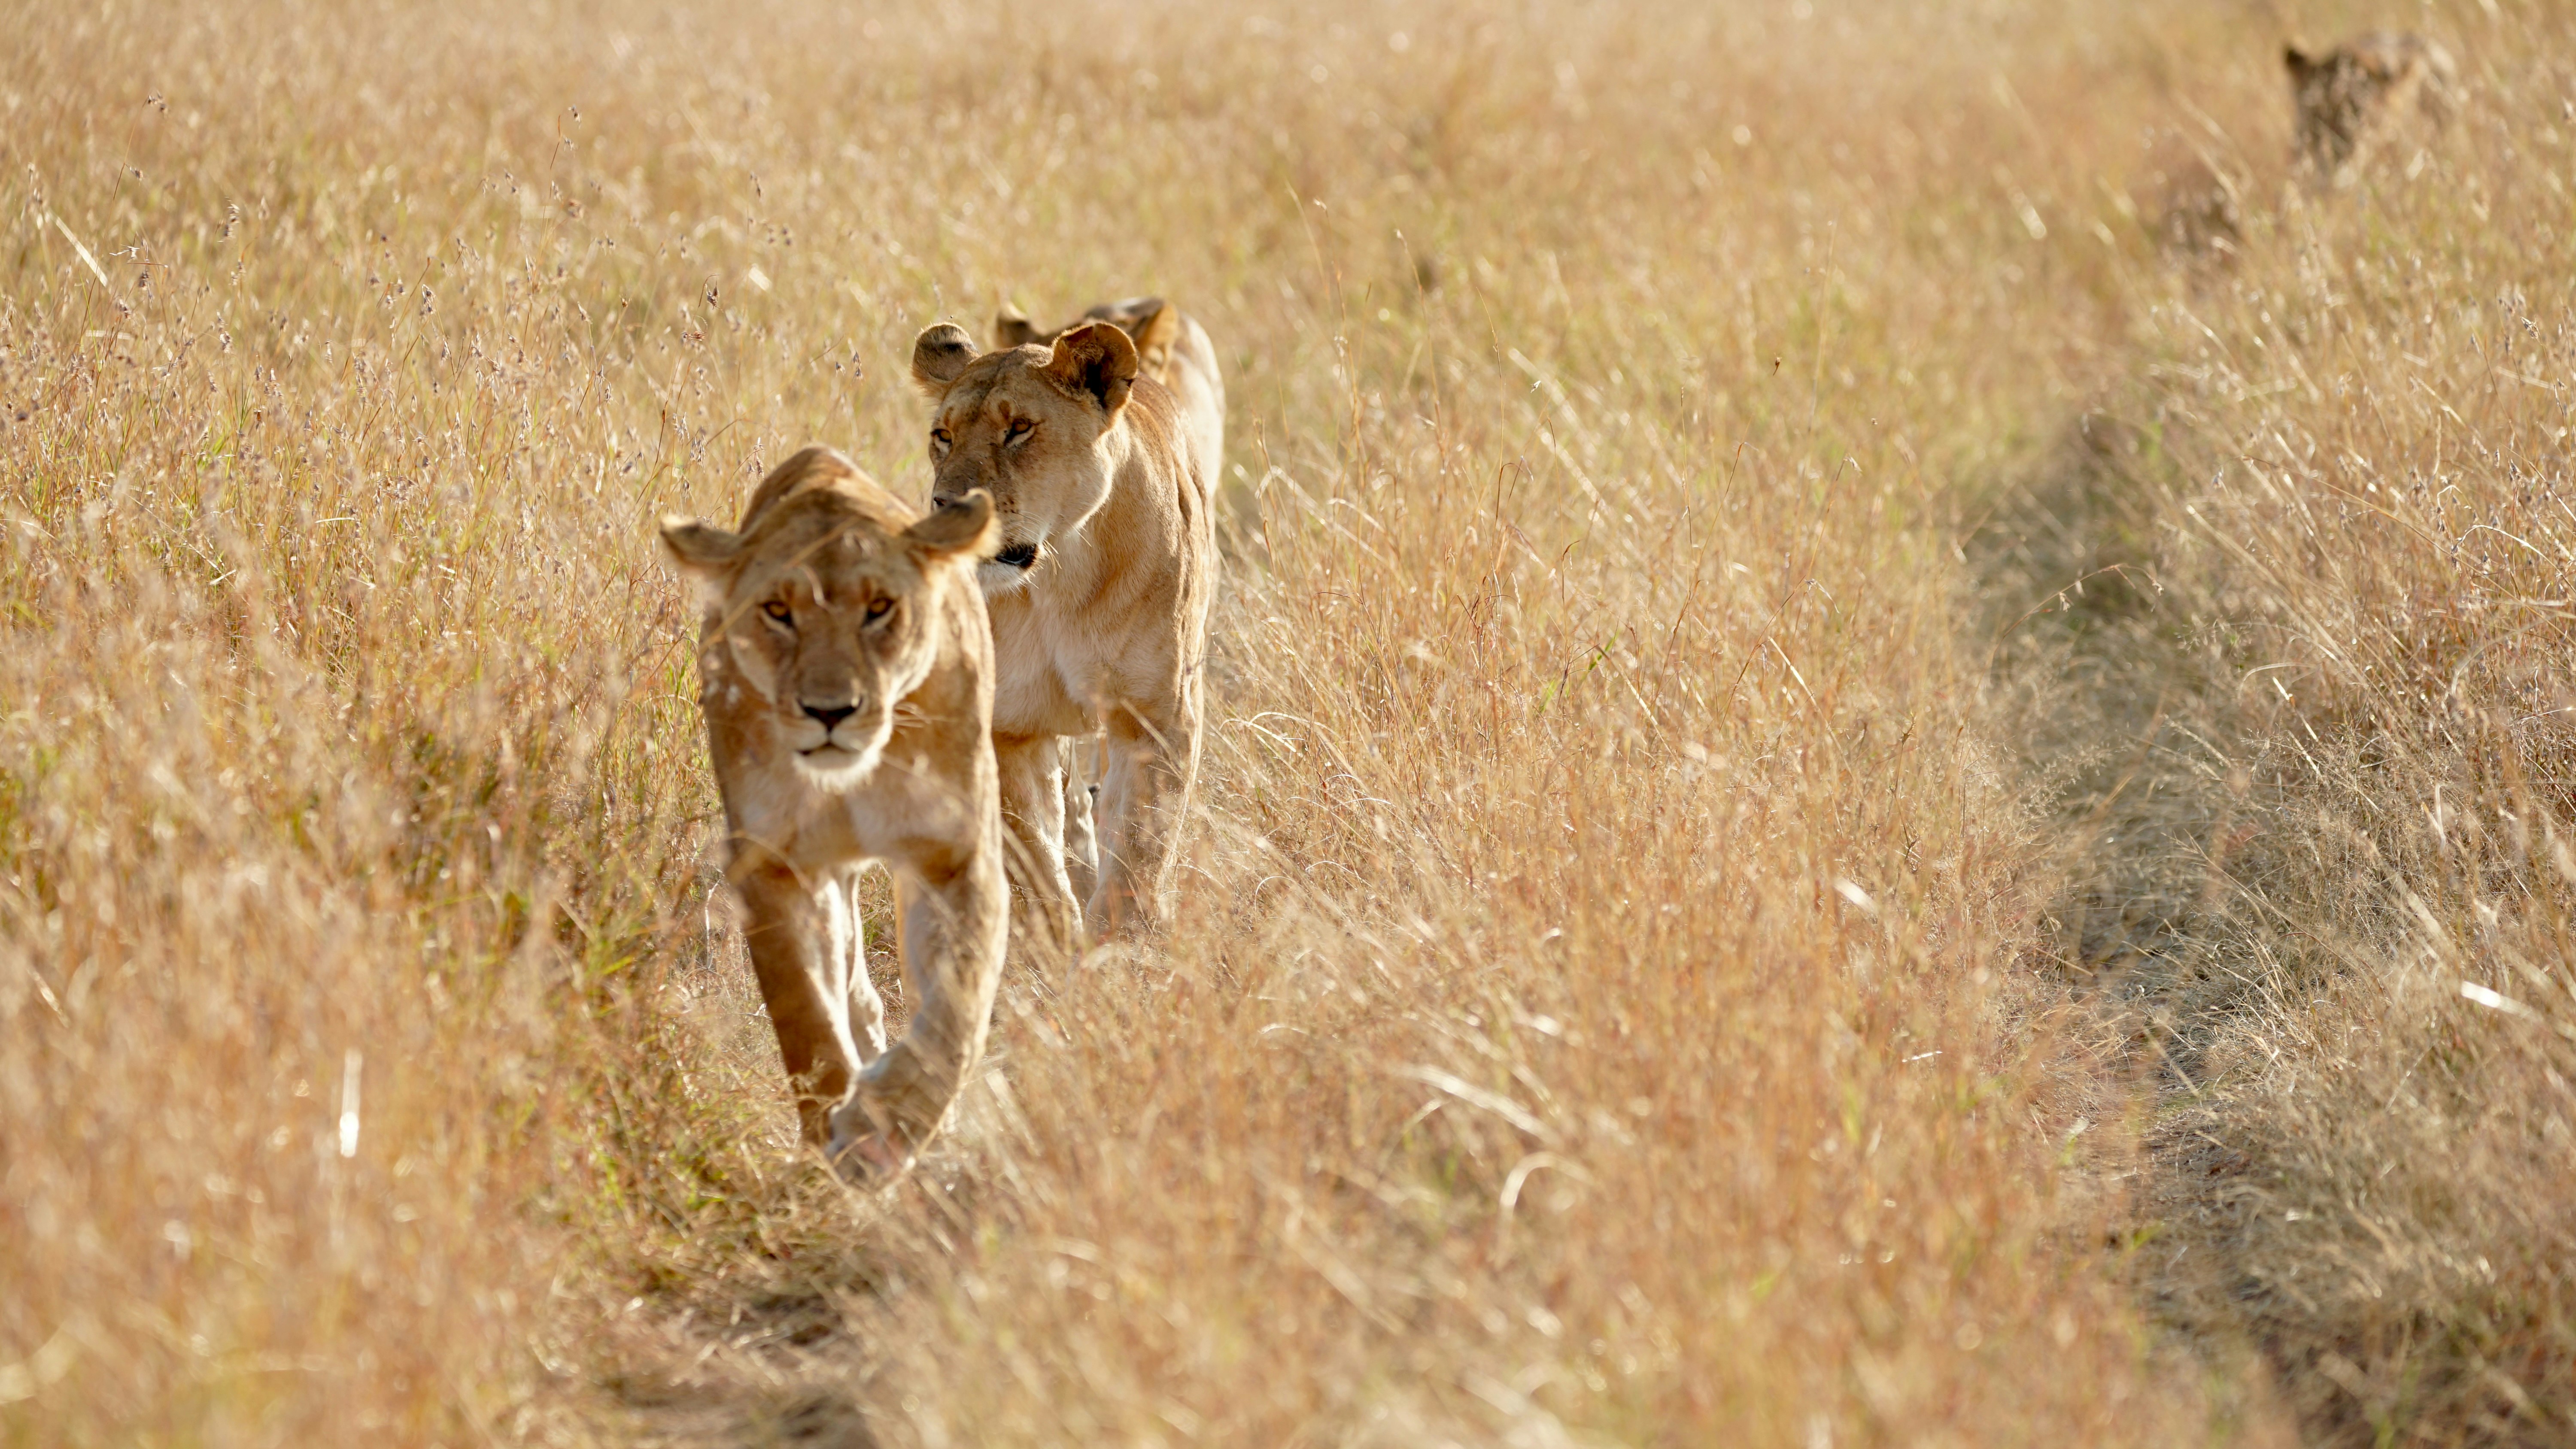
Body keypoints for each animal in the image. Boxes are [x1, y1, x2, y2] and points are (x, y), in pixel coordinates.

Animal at [659, 445, 1009, 1177]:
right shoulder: (774, 865)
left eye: (879, 609)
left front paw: (892, 1127)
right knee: (851, 985)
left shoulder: (955, 856)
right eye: (777, 611)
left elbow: (957, 1004)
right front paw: (838, 1133)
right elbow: (805, 1015)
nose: (830, 711)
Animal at [910, 318, 1215, 940]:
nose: (948, 506)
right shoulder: (1010, 726)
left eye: (1019, 429)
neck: (1057, 577)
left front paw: (1119, 942)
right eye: (943, 436)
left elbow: (1141, 844)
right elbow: (1034, 862)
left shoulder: (1156, 715)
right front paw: (1061, 943)